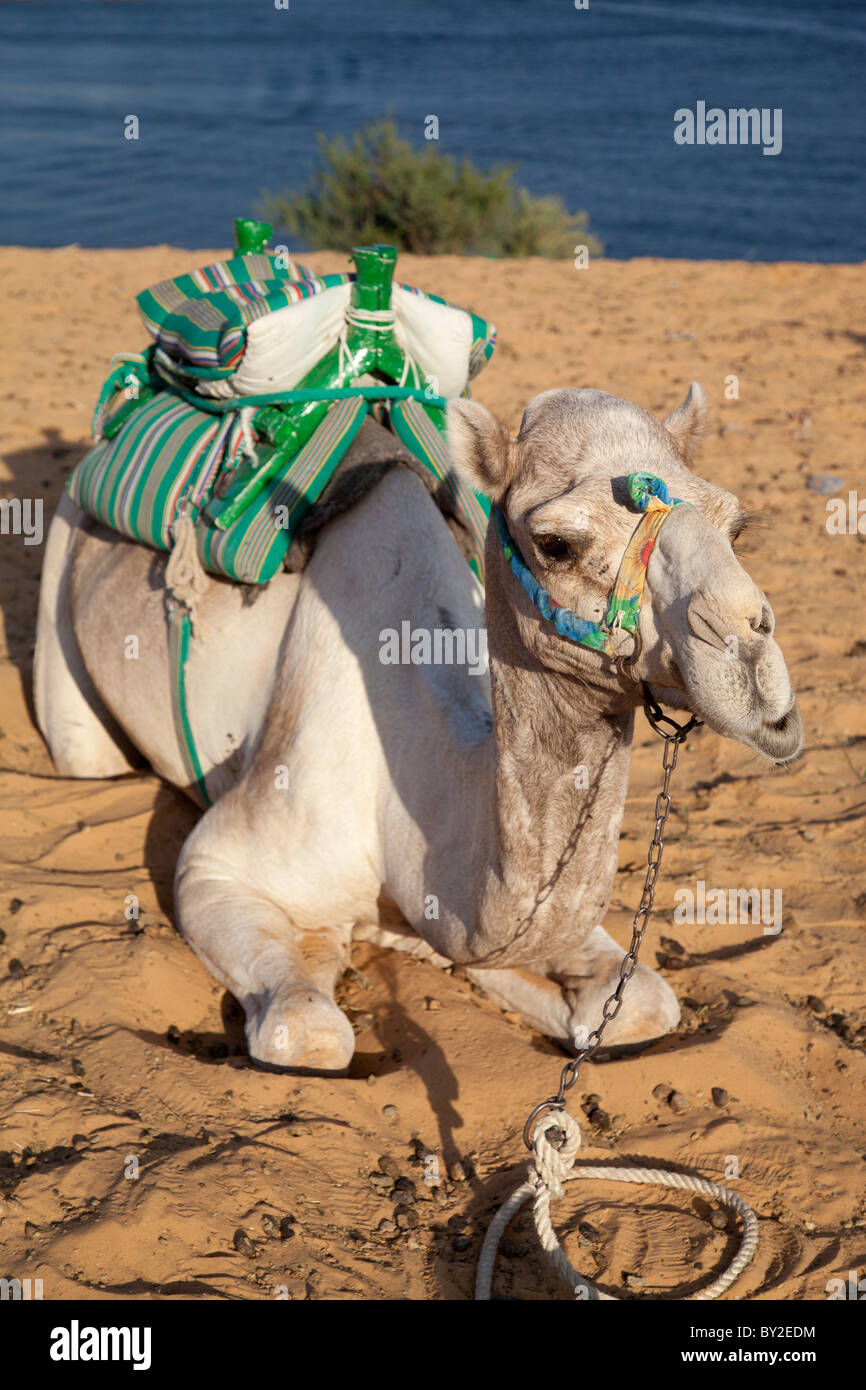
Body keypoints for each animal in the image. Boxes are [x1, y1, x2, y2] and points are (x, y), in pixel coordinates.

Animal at [33, 382, 803, 1073]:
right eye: (555, 544)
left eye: (736, 527)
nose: (753, 666)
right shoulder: (217, 866)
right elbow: (309, 1033)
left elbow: (639, 1003)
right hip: (63, 576)